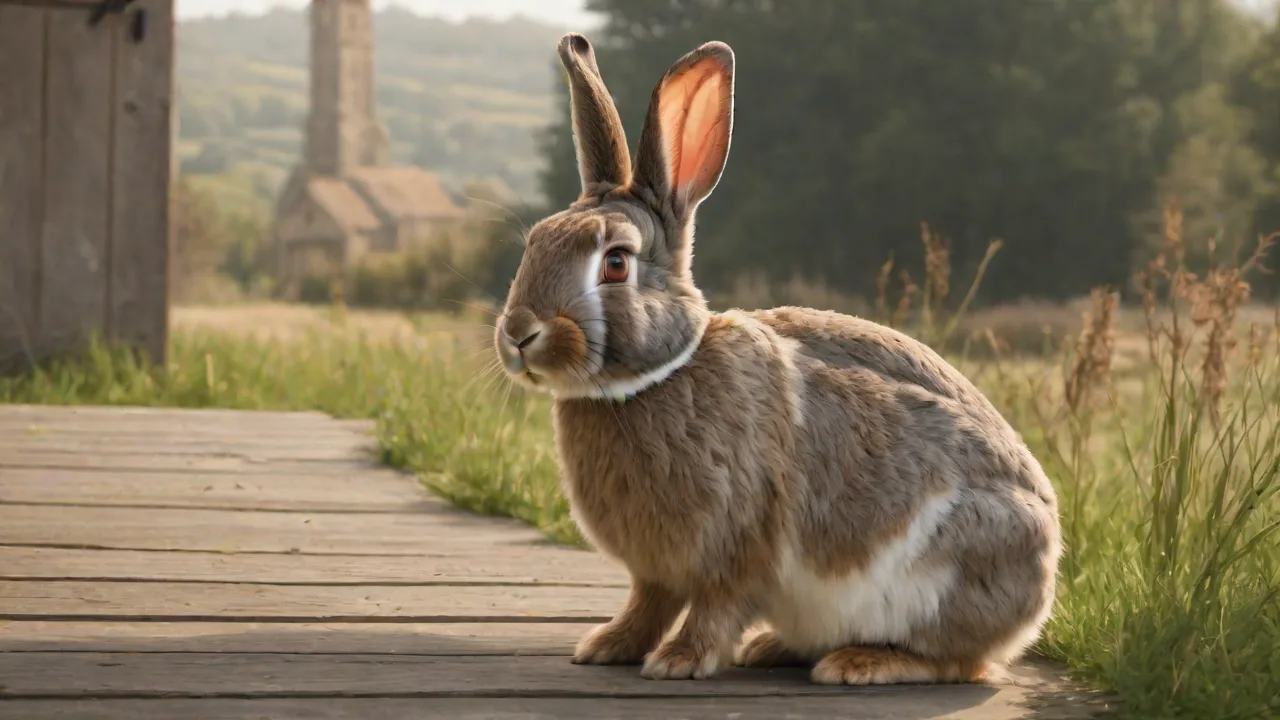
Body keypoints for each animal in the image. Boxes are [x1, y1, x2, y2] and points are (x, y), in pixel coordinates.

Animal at [493, 32, 1062, 686]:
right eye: (536, 242)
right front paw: (609, 645)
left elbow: (716, 607)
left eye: (615, 263)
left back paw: (858, 662)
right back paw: (775, 648)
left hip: (950, 568)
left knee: (955, 660)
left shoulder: (739, 546)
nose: (518, 333)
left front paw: (679, 661)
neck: (656, 376)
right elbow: (647, 603)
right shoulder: (657, 571)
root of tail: (1042, 585)